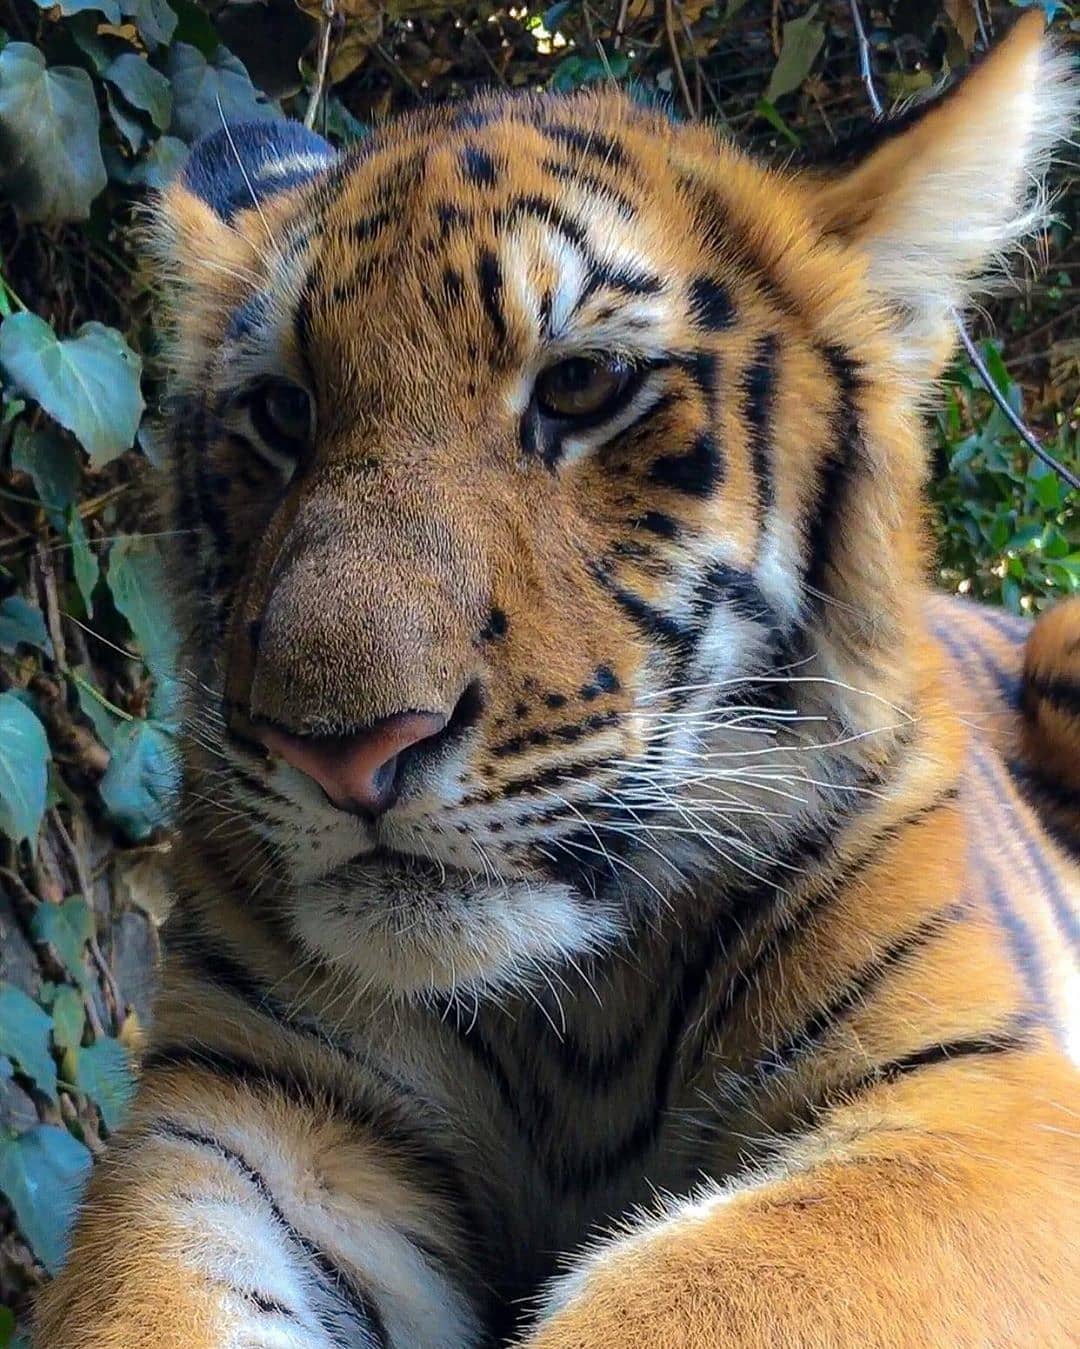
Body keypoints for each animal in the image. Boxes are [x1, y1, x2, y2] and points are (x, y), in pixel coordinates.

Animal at [33, 12, 1079, 1348]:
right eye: (282, 411)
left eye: (582, 386)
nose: (342, 750)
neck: (572, 1021)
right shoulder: (250, 1111)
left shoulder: (983, 1105)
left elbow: (711, 1289)